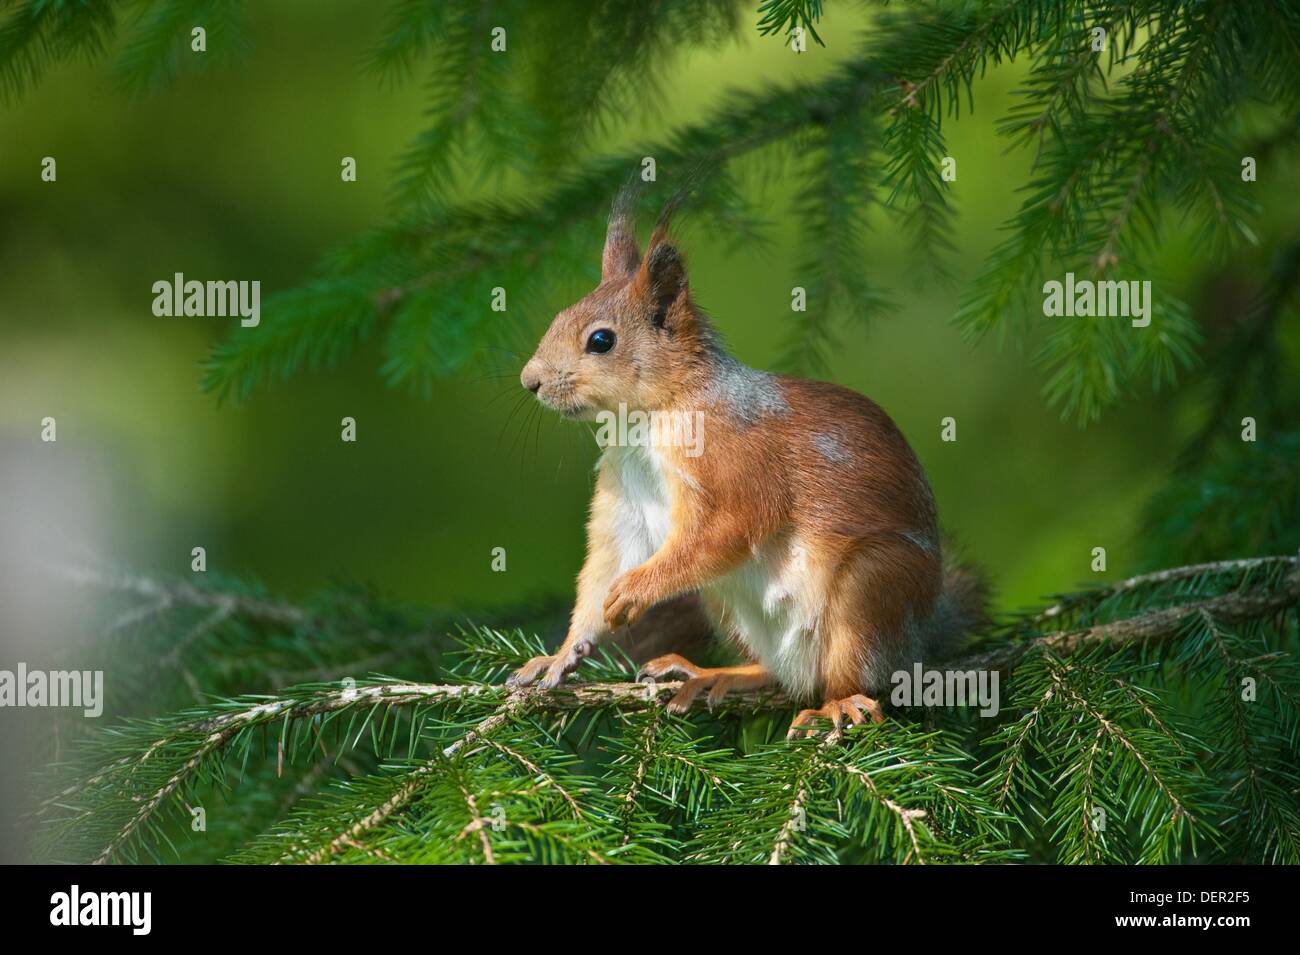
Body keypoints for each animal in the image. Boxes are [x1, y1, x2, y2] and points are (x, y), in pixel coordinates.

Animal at [508, 190, 988, 737]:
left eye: (601, 340)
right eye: (558, 317)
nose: (529, 381)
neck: (648, 420)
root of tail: (919, 644)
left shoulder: (734, 461)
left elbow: (732, 527)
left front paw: (635, 589)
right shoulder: (624, 498)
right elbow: (605, 565)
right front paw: (562, 654)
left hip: (871, 589)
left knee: (854, 679)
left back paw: (838, 705)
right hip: (721, 604)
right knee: (777, 675)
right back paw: (714, 674)